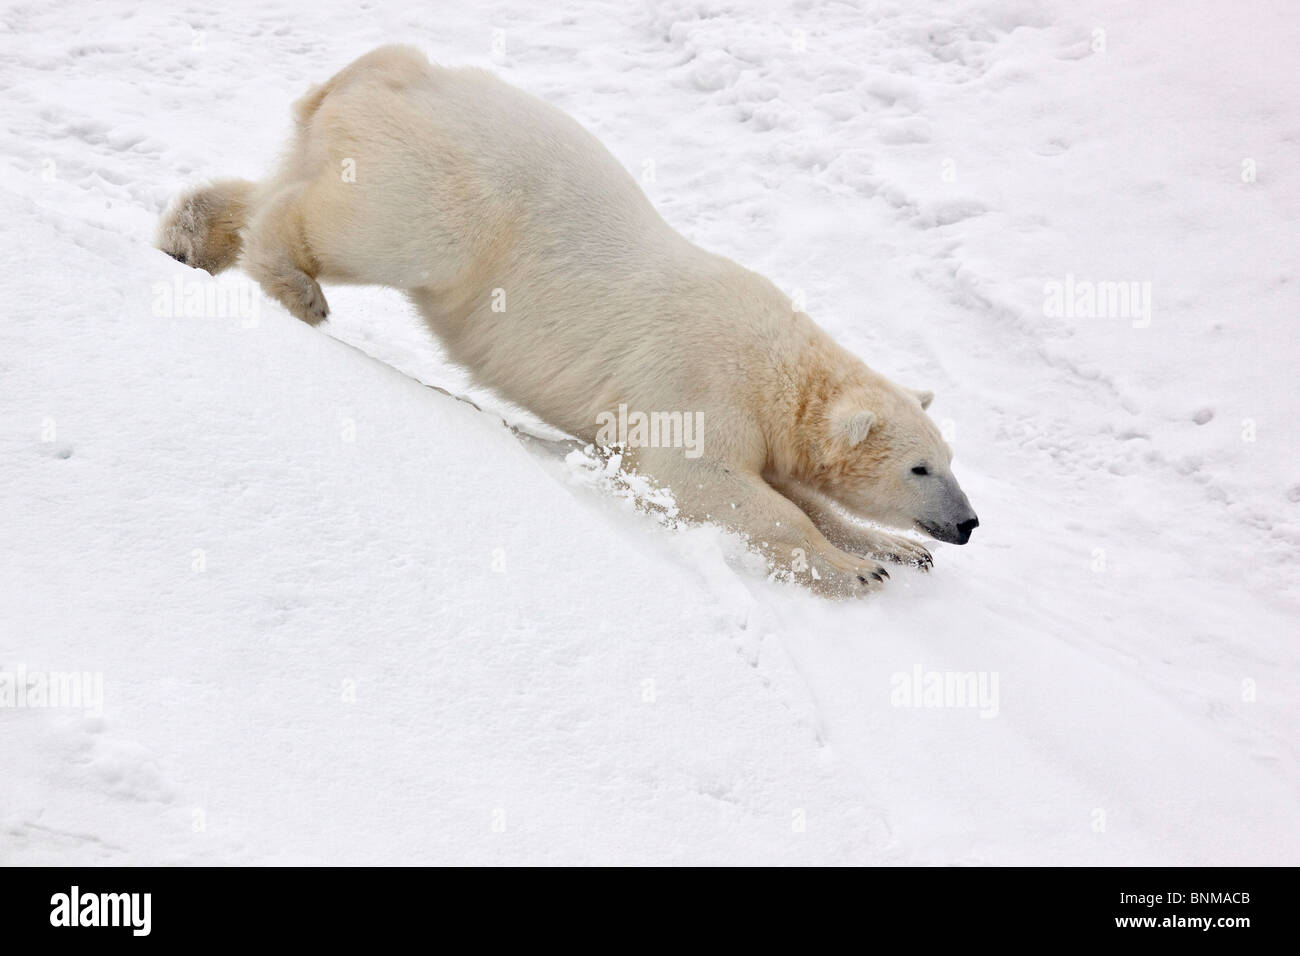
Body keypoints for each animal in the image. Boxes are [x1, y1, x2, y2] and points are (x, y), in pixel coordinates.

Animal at [156, 45, 979, 597]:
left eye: (950, 458)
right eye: (920, 467)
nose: (968, 523)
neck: (783, 367)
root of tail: (387, 68)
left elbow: (793, 490)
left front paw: (895, 550)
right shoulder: (699, 383)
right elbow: (709, 484)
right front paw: (854, 569)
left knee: (281, 179)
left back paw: (189, 234)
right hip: (453, 190)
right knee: (369, 227)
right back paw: (294, 285)